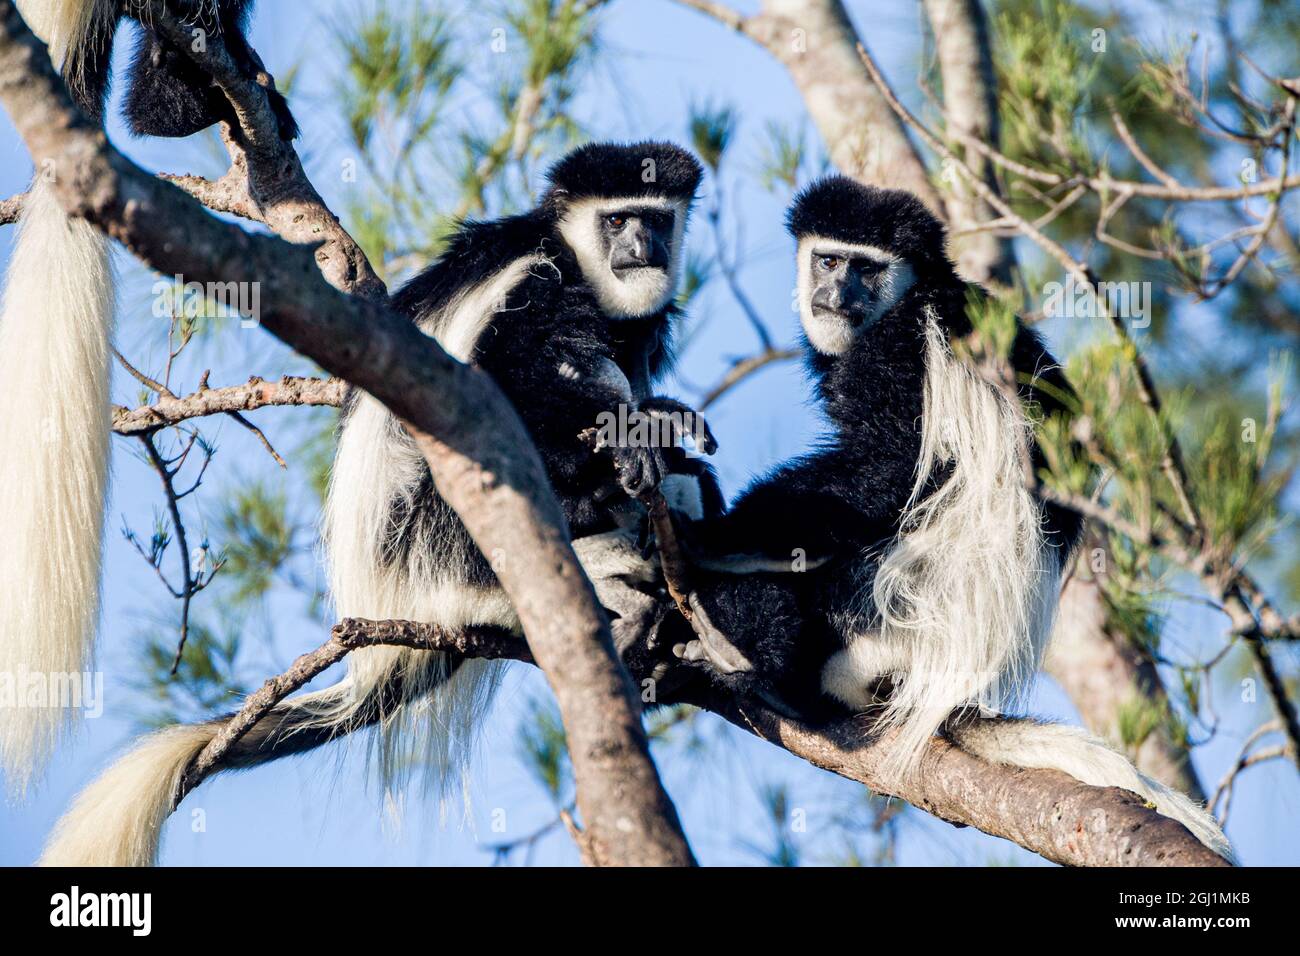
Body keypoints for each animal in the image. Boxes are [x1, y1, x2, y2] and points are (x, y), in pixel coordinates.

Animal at [36, 141, 721, 866]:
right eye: (617, 221)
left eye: (657, 219)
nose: (643, 248)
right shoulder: (537, 280)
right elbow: (506, 380)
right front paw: (633, 436)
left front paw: (661, 434)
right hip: (423, 539)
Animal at [671, 176, 1232, 860]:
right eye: (828, 261)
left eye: (867, 269)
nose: (836, 295)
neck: (913, 294)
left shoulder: (897, 351)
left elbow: (886, 466)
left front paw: (708, 536)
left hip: (885, 607)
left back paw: (761, 665)